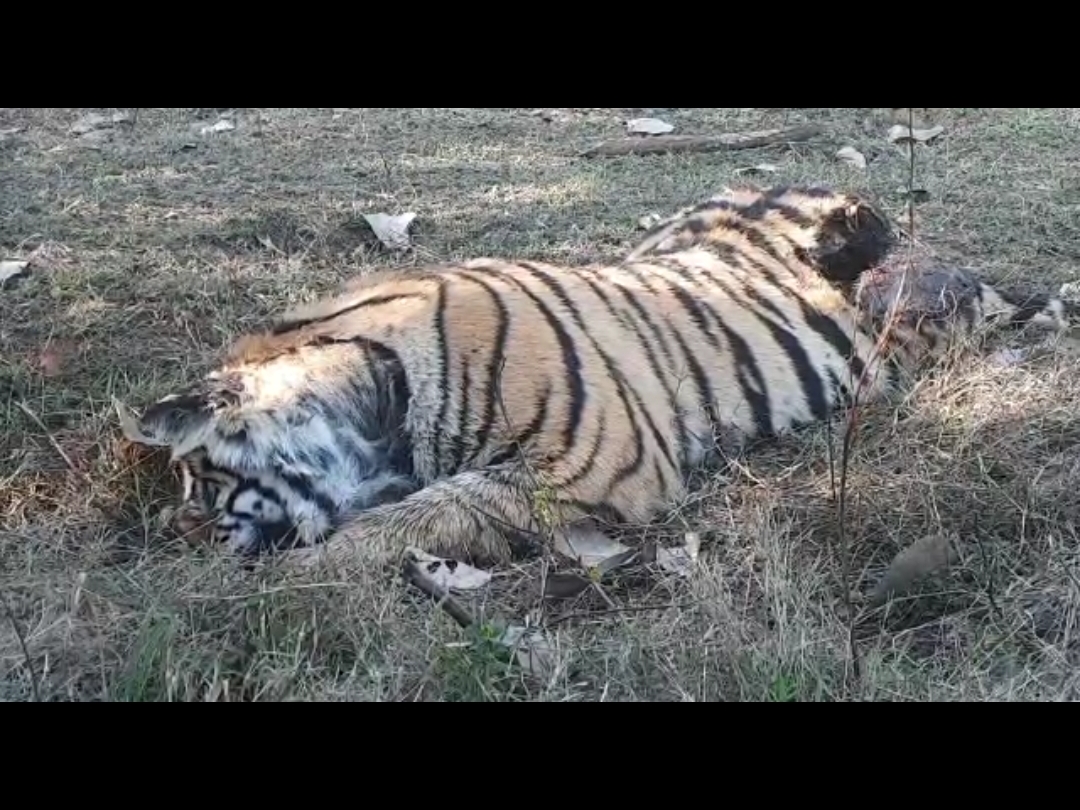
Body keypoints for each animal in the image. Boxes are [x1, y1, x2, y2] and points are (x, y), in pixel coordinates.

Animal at [122, 185, 1073, 571]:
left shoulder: (589, 464)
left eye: (202, 484)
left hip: (916, 316)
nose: (184, 537)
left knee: (915, 288)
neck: (379, 397)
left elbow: (430, 509)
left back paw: (857, 241)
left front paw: (307, 573)